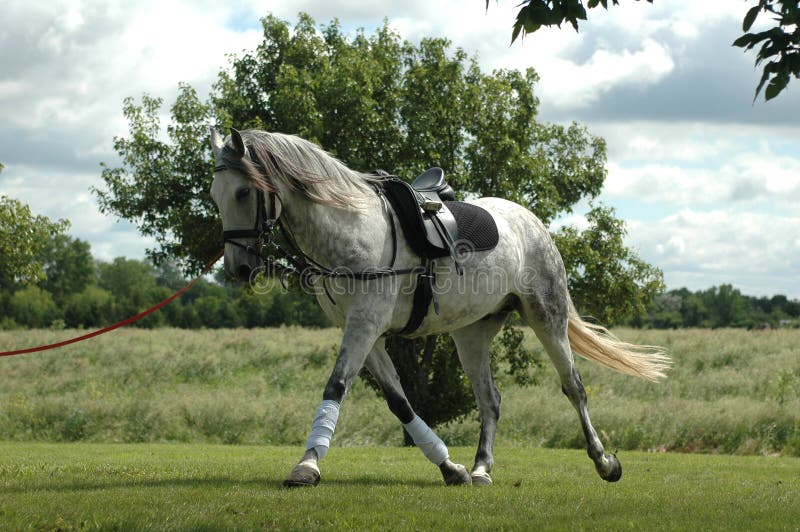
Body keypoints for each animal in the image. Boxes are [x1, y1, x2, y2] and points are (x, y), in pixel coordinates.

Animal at [209, 128, 669, 487]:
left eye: (244, 191)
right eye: (215, 196)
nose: (238, 268)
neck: (350, 228)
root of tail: (531, 221)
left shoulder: (365, 324)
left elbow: (335, 386)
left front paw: (307, 465)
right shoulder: (366, 332)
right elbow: (400, 402)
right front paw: (451, 467)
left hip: (547, 316)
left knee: (573, 386)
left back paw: (604, 462)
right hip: (472, 333)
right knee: (490, 399)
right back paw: (481, 469)